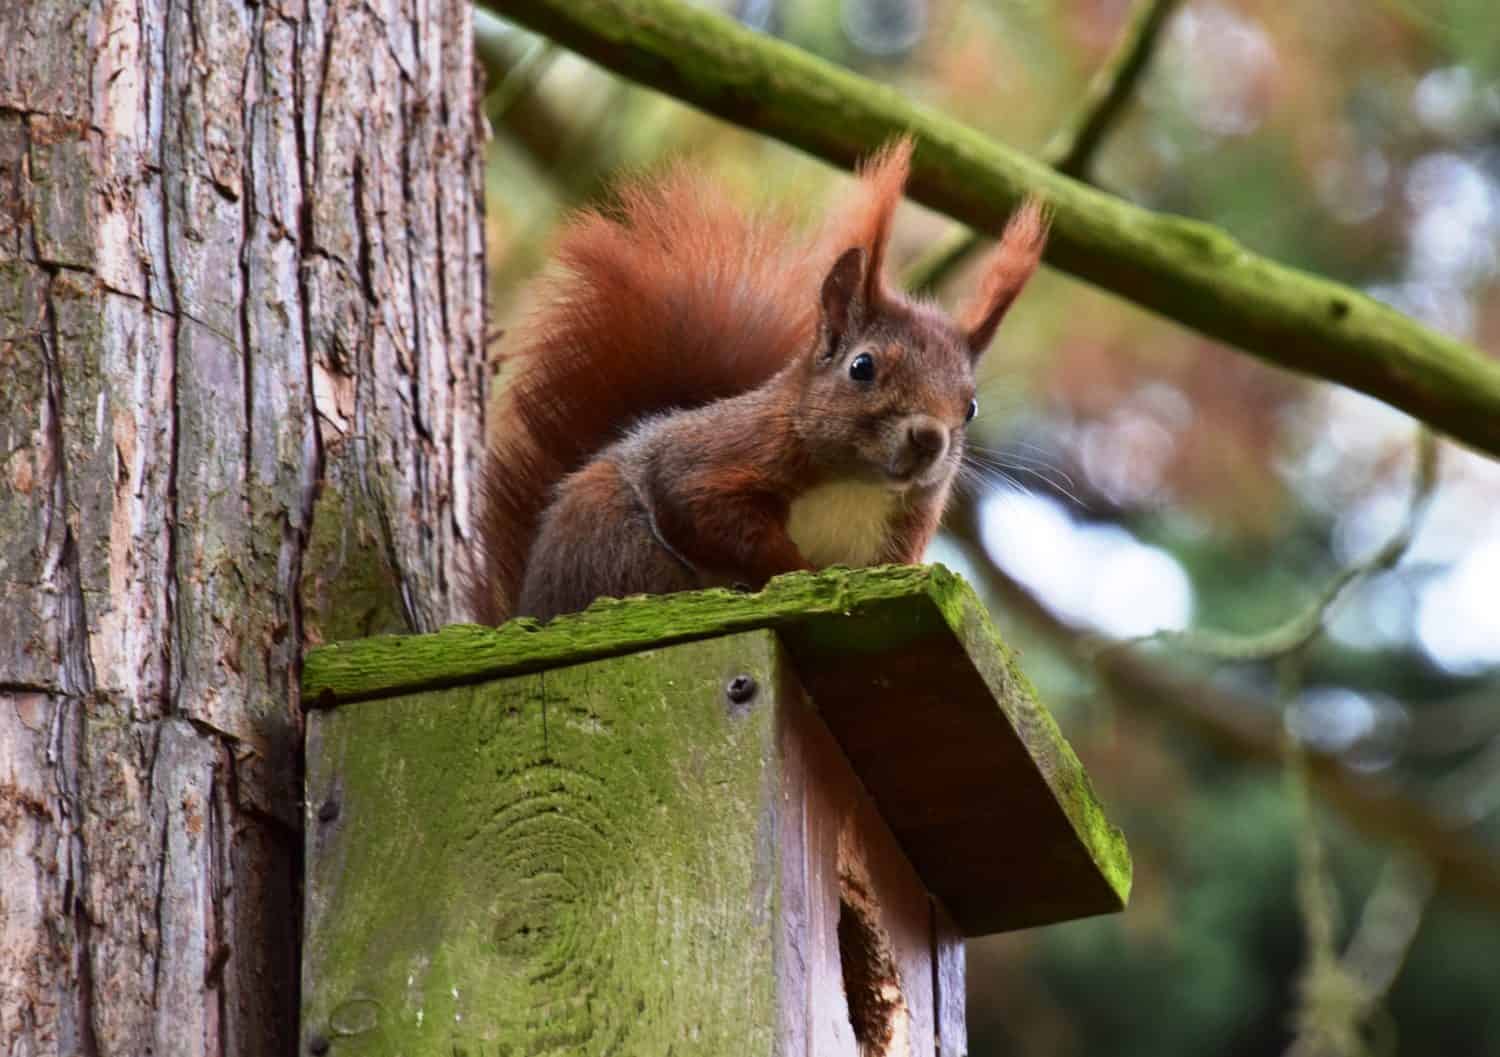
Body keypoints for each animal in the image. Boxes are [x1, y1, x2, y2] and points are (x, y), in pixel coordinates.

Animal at [472, 137, 1047, 623]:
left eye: (970, 407)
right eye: (862, 367)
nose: (929, 438)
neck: (857, 485)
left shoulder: (900, 538)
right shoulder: (717, 458)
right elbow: (712, 516)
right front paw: (804, 575)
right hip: (617, 545)